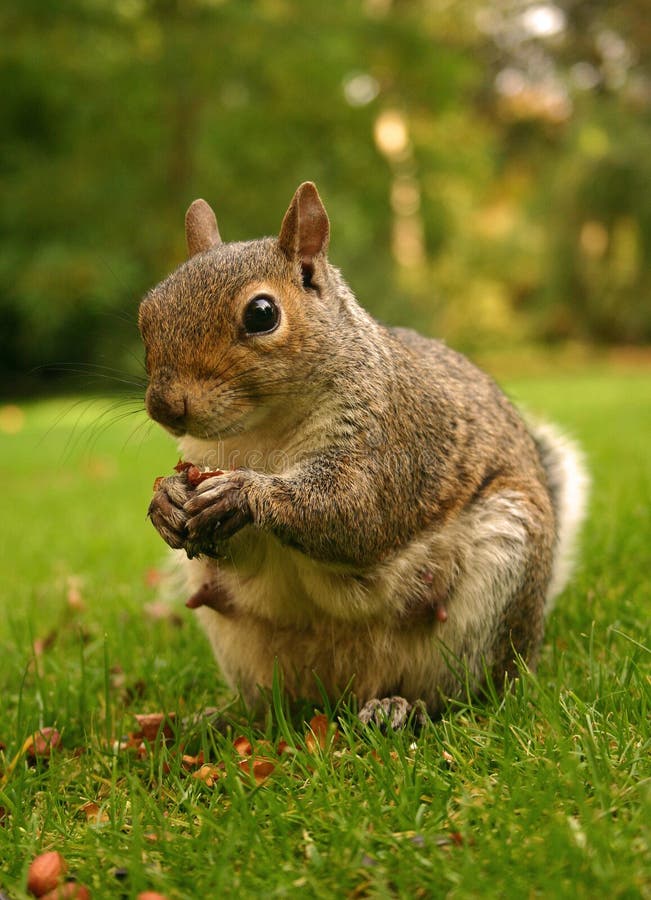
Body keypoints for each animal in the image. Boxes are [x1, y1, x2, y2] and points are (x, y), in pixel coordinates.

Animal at [140, 182, 588, 727]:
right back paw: (216, 718)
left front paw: (243, 491)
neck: (263, 432)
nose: (165, 406)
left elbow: (354, 511)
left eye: (262, 314)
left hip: (492, 591)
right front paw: (165, 502)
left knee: (458, 695)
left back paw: (399, 707)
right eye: (148, 311)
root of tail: (337, 692)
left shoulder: (393, 440)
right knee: (266, 703)